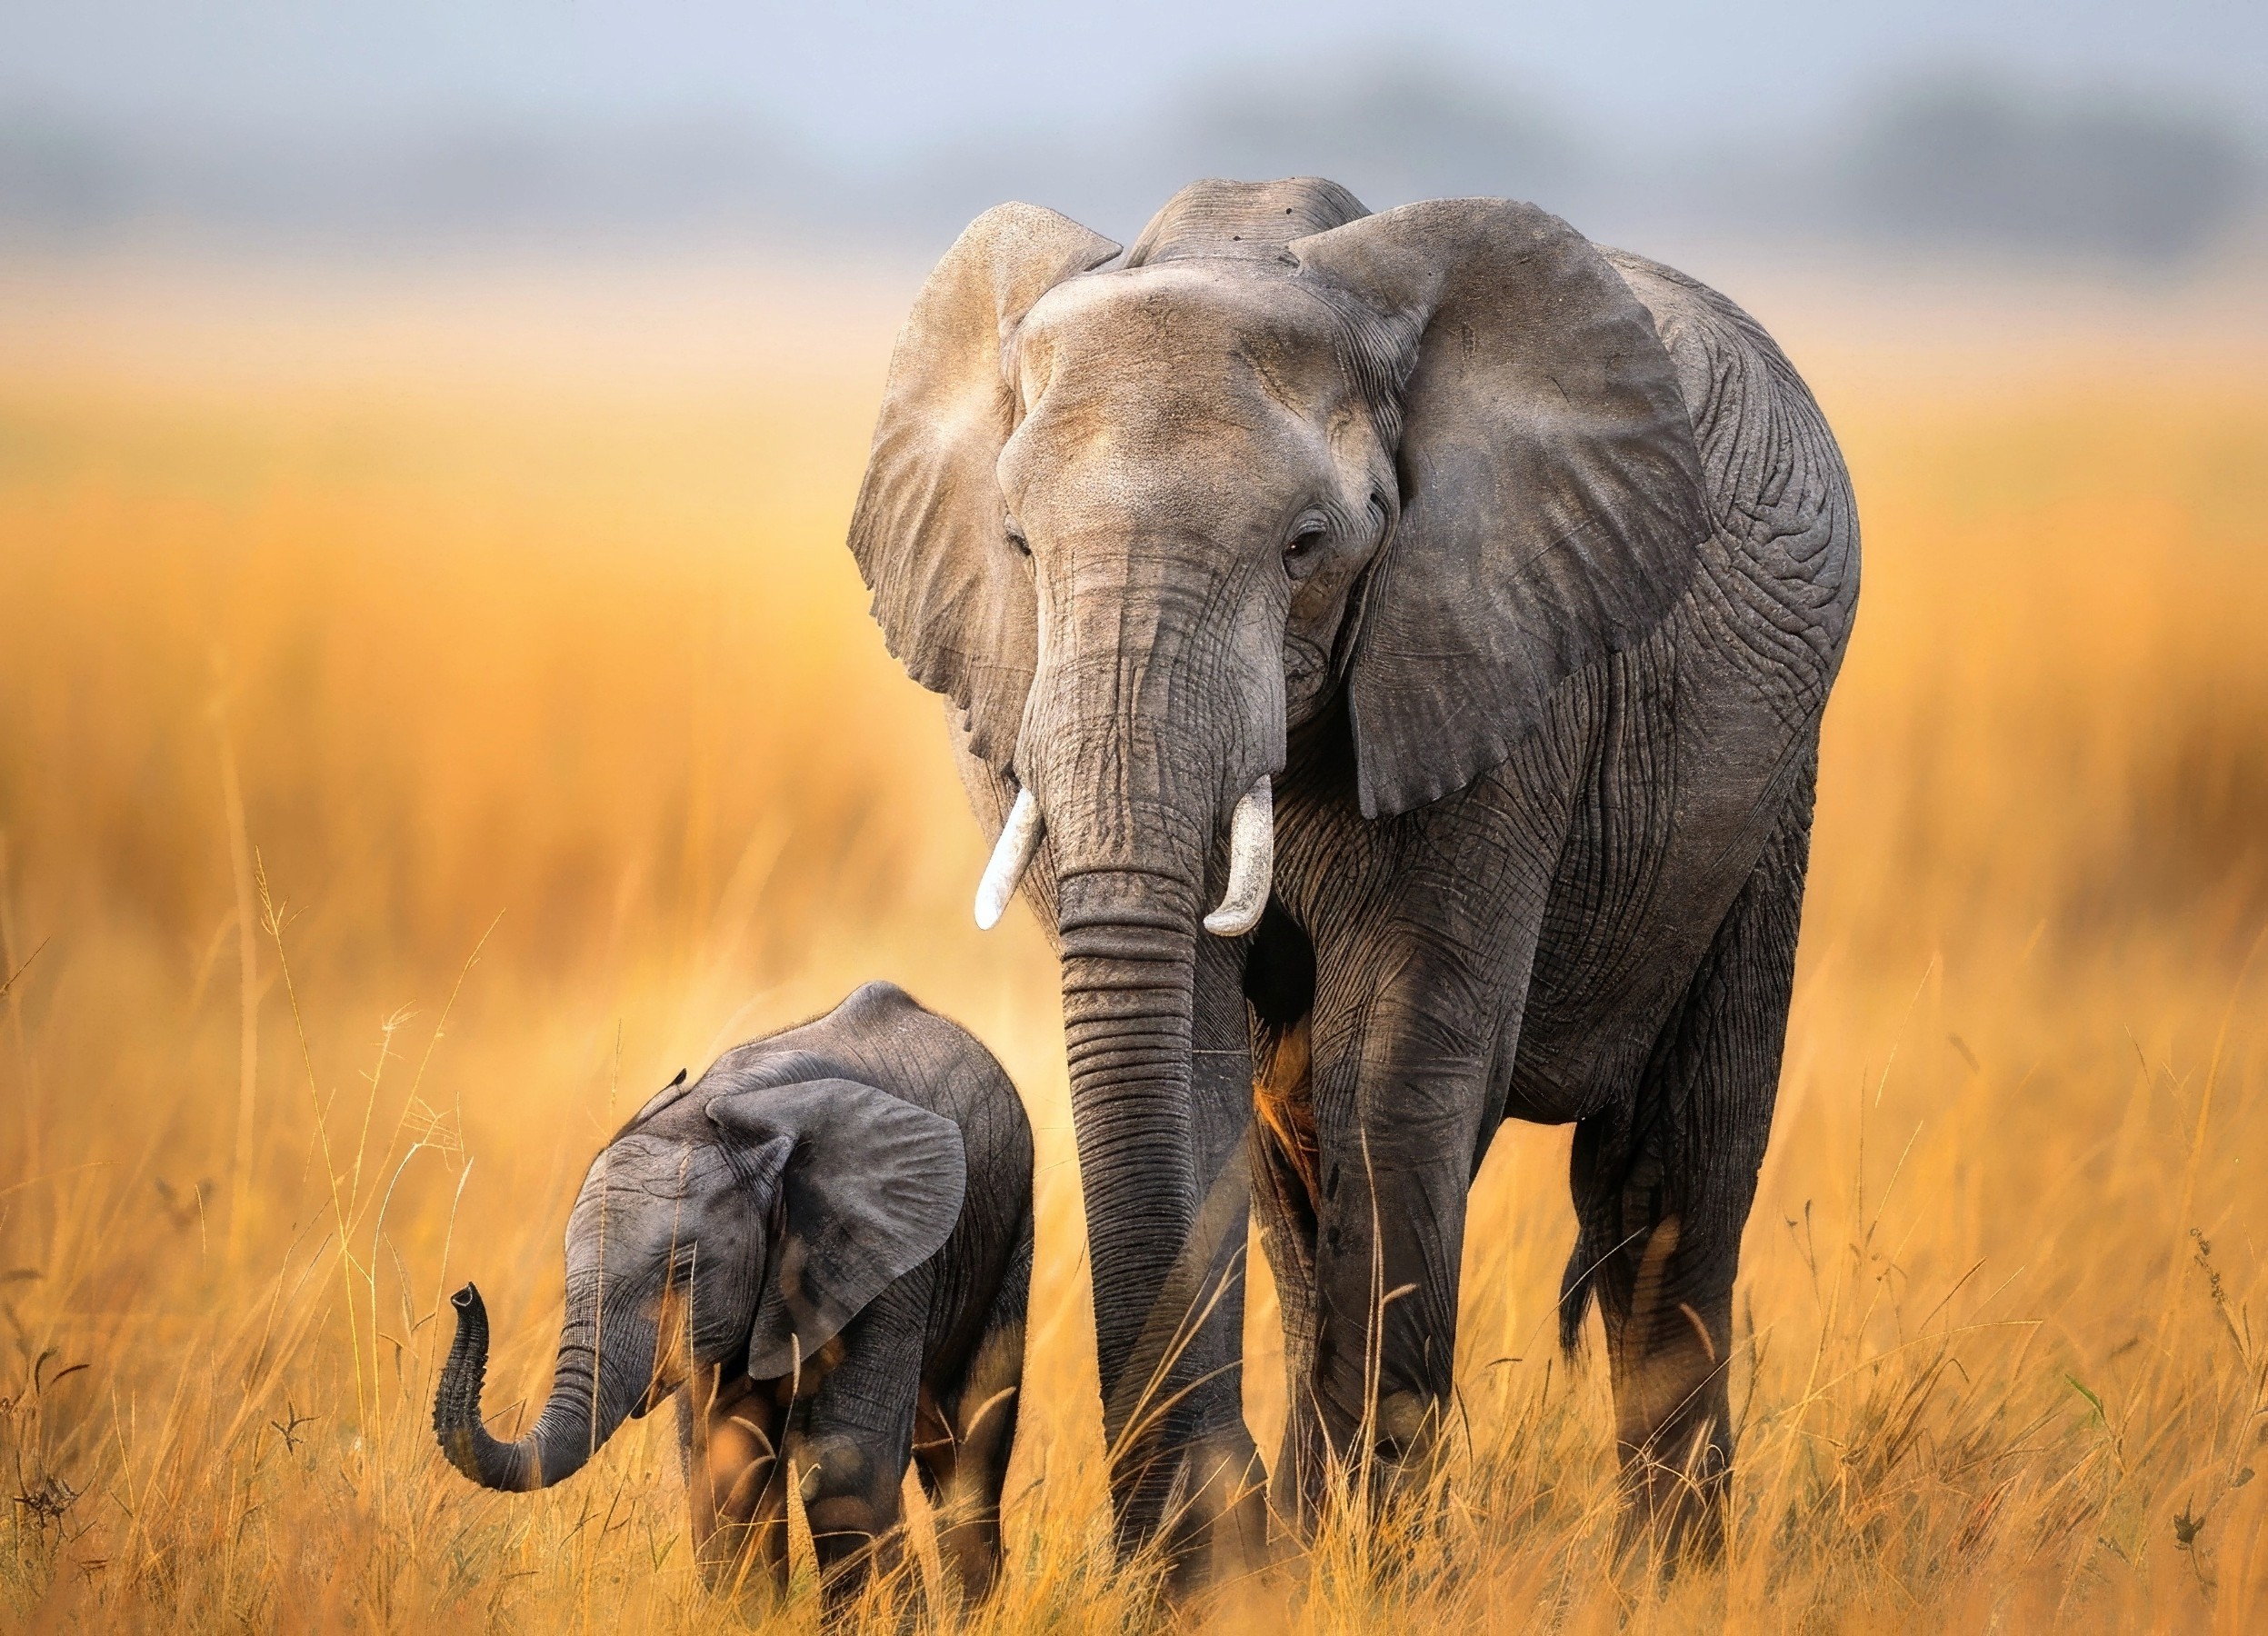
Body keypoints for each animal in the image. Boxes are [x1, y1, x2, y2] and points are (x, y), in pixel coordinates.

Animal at [431, 982, 1034, 1607]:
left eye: (683, 1269)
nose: (464, 1296)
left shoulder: (884, 1257)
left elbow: (847, 1462)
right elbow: (727, 1467)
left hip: (1010, 1234)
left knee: (969, 1448)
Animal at [847, 175, 1858, 1575]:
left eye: (1306, 545)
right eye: (1017, 545)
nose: (1169, 1538)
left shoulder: (1489, 671)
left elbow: (1395, 1069)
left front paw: (1352, 1569)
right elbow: (1199, 1062)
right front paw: (1223, 1567)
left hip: (1767, 783)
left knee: (1670, 1178)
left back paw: (1670, 1578)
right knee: (1301, 1178)